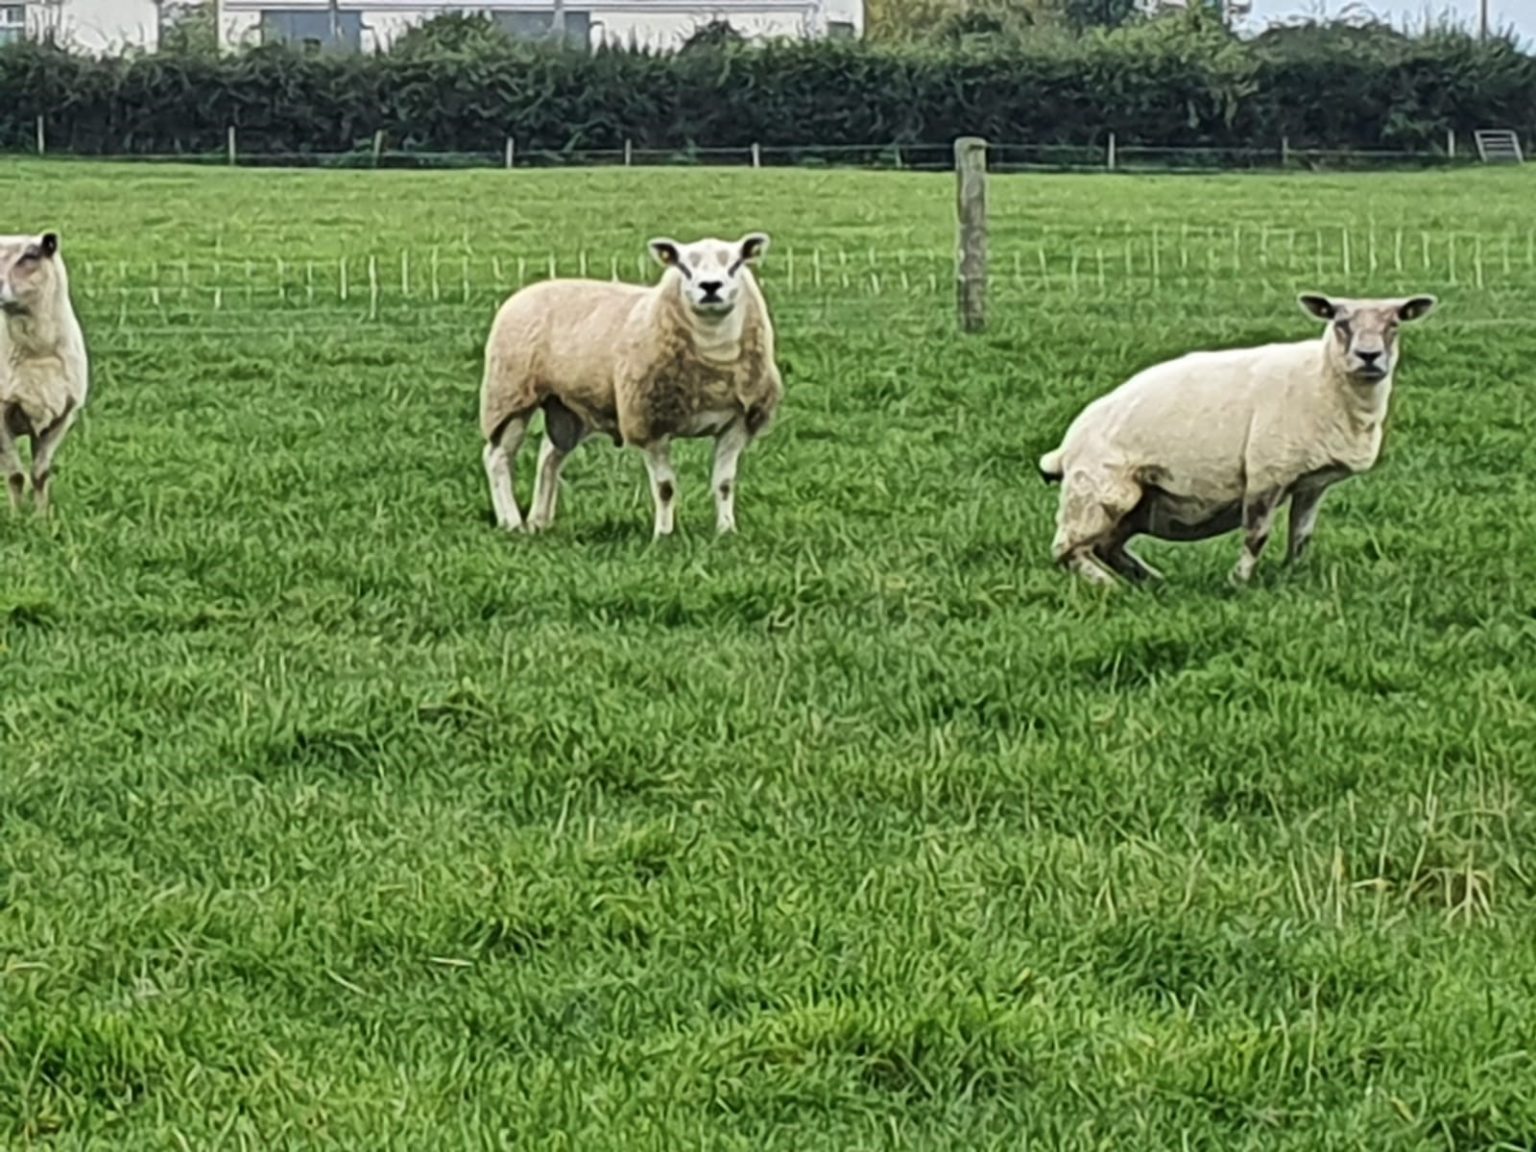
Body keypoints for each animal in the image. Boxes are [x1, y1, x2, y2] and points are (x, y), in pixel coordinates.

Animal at [0, 232, 88, 517]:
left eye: (30, 255)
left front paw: (40, 519)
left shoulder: (61, 417)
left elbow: (40, 475)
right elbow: (15, 476)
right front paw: (16, 519)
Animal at [479, 232, 782, 539]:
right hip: (509, 396)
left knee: (549, 458)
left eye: (736, 264)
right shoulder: (649, 423)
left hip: (569, 408)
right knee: (497, 457)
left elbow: (725, 484)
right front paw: (664, 536)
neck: (714, 365)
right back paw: (511, 522)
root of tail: (528, 290)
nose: (710, 286)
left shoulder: (738, 423)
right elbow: (665, 488)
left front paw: (726, 530)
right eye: (683, 267)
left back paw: (539, 521)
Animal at [1037, 292, 1439, 586]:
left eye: (1394, 323)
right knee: (1066, 550)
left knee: (1107, 546)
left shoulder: (1312, 482)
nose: (1369, 357)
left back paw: (1152, 581)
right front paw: (1239, 582)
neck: (1322, 378)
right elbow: (1256, 534)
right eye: (1340, 322)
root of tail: (1065, 448)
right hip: (1100, 492)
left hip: (1137, 502)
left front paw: (1293, 577)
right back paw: (1109, 586)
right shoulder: (1266, 472)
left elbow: (1301, 536)